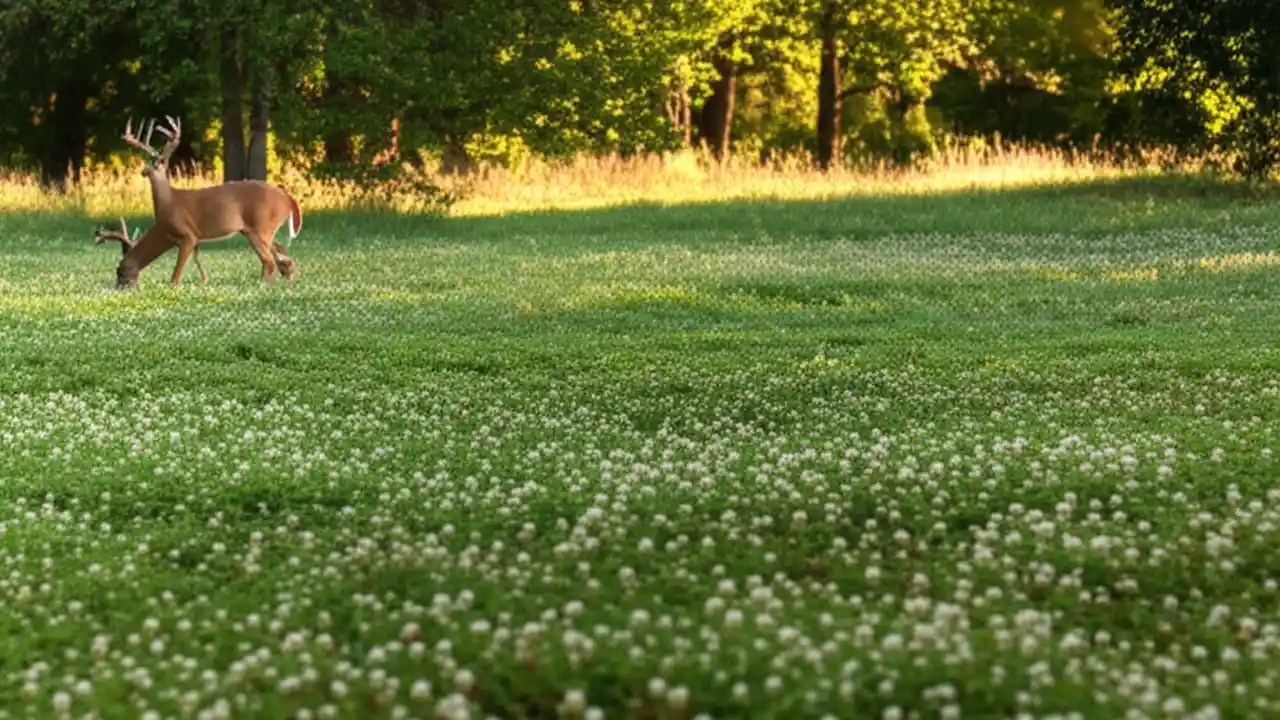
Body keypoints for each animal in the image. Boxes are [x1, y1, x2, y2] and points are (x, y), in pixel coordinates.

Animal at [114, 115, 301, 289]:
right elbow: (198, 264)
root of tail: (288, 198)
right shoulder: (194, 240)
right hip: (253, 231)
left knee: (270, 261)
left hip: (262, 228)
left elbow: (176, 276)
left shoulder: (188, 235)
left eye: (119, 270)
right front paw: (204, 282)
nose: (118, 287)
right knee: (281, 257)